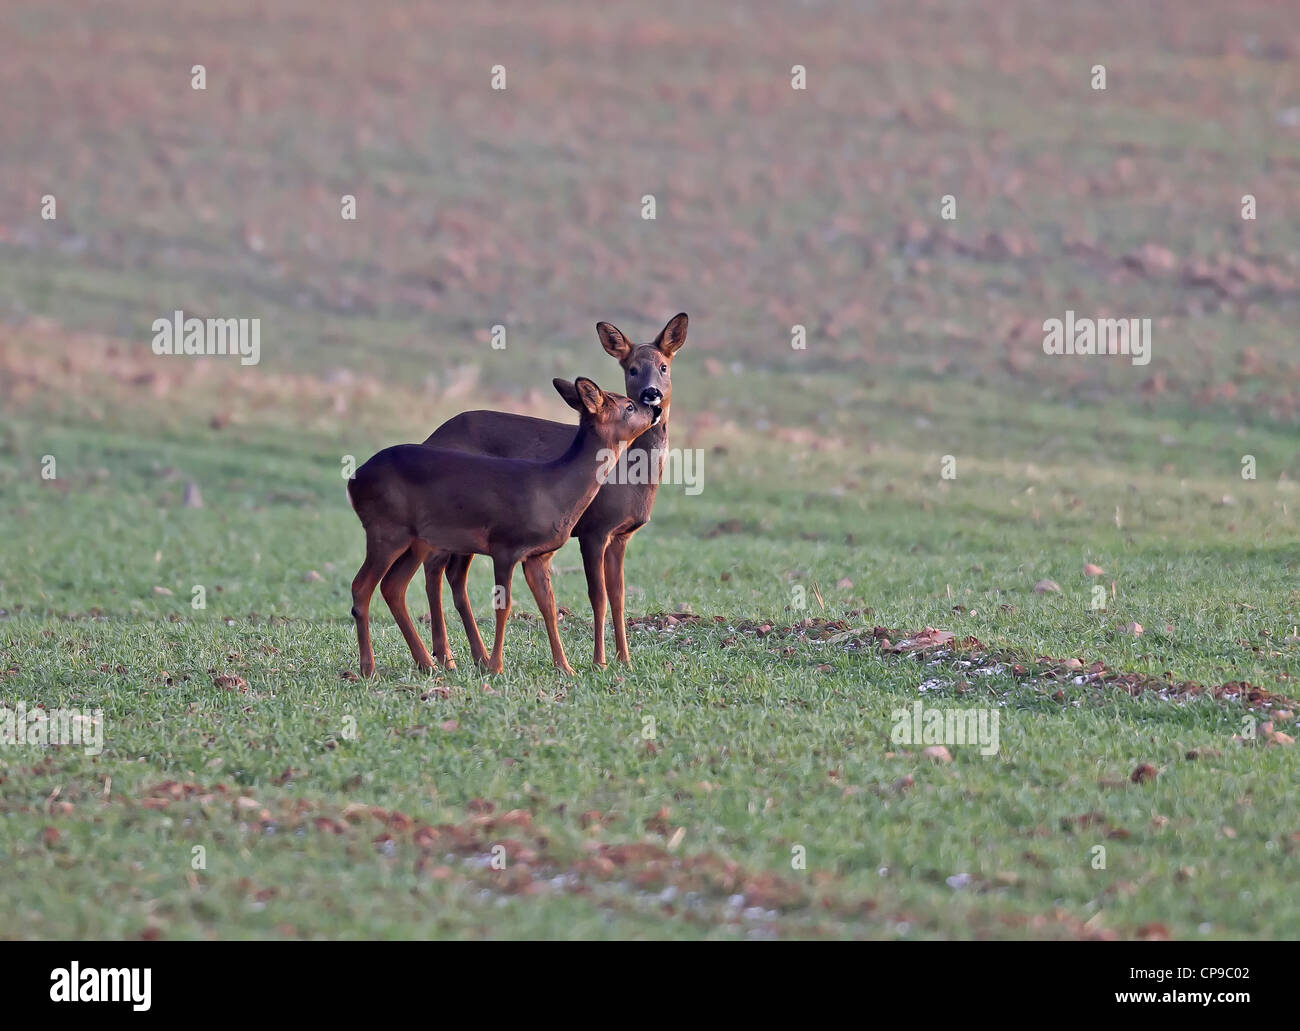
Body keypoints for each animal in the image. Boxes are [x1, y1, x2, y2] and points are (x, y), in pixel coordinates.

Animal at [346, 378, 661, 678]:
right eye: (628, 406)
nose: (655, 410)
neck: (554, 488)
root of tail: (353, 480)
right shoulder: (505, 545)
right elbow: (504, 606)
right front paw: (496, 666)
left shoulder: (538, 555)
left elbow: (549, 606)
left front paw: (565, 667)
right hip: (385, 530)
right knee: (362, 586)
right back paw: (369, 668)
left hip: (416, 540)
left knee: (393, 586)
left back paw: (428, 664)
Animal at [377, 313, 687, 670]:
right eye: (632, 368)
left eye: (664, 366)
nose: (651, 395)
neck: (630, 478)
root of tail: (432, 437)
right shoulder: (594, 530)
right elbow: (598, 597)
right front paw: (599, 662)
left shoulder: (621, 535)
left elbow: (619, 596)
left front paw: (624, 660)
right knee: (435, 571)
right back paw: (448, 657)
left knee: (451, 575)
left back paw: (471, 656)